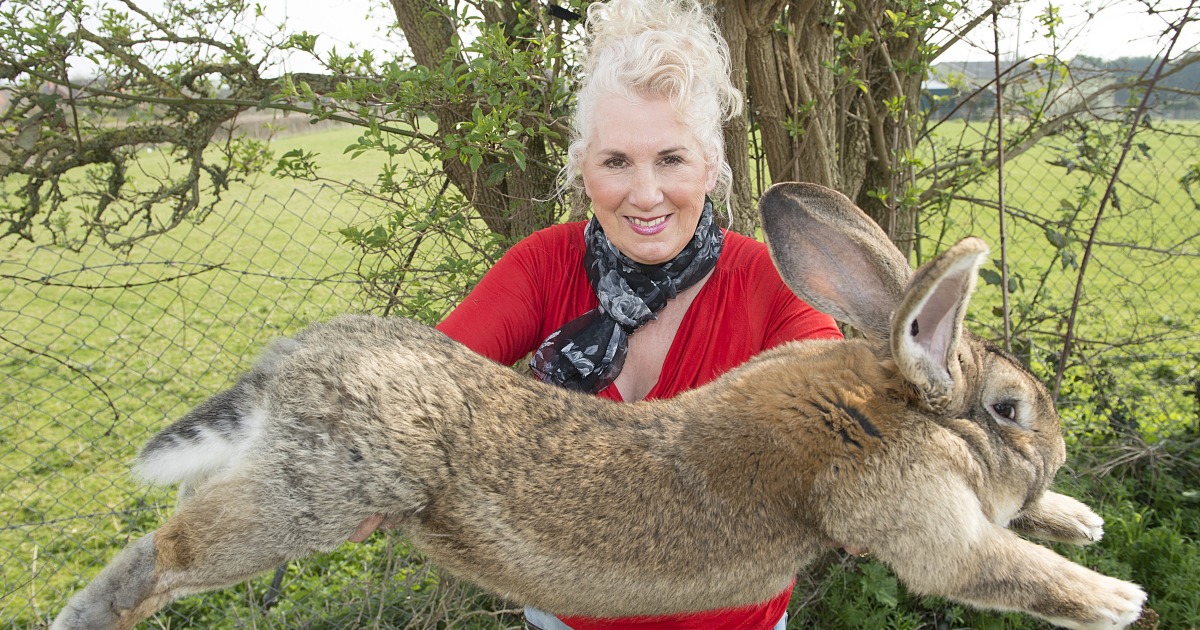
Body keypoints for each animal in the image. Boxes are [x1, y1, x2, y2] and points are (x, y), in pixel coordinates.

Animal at [52, 182, 1146, 630]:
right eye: (1010, 409)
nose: (1055, 450)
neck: (890, 406)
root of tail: (289, 366)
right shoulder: (919, 519)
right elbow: (996, 566)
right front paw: (1115, 600)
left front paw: (1079, 518)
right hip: (314, 498)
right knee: (171, 554)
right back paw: (88, 617)